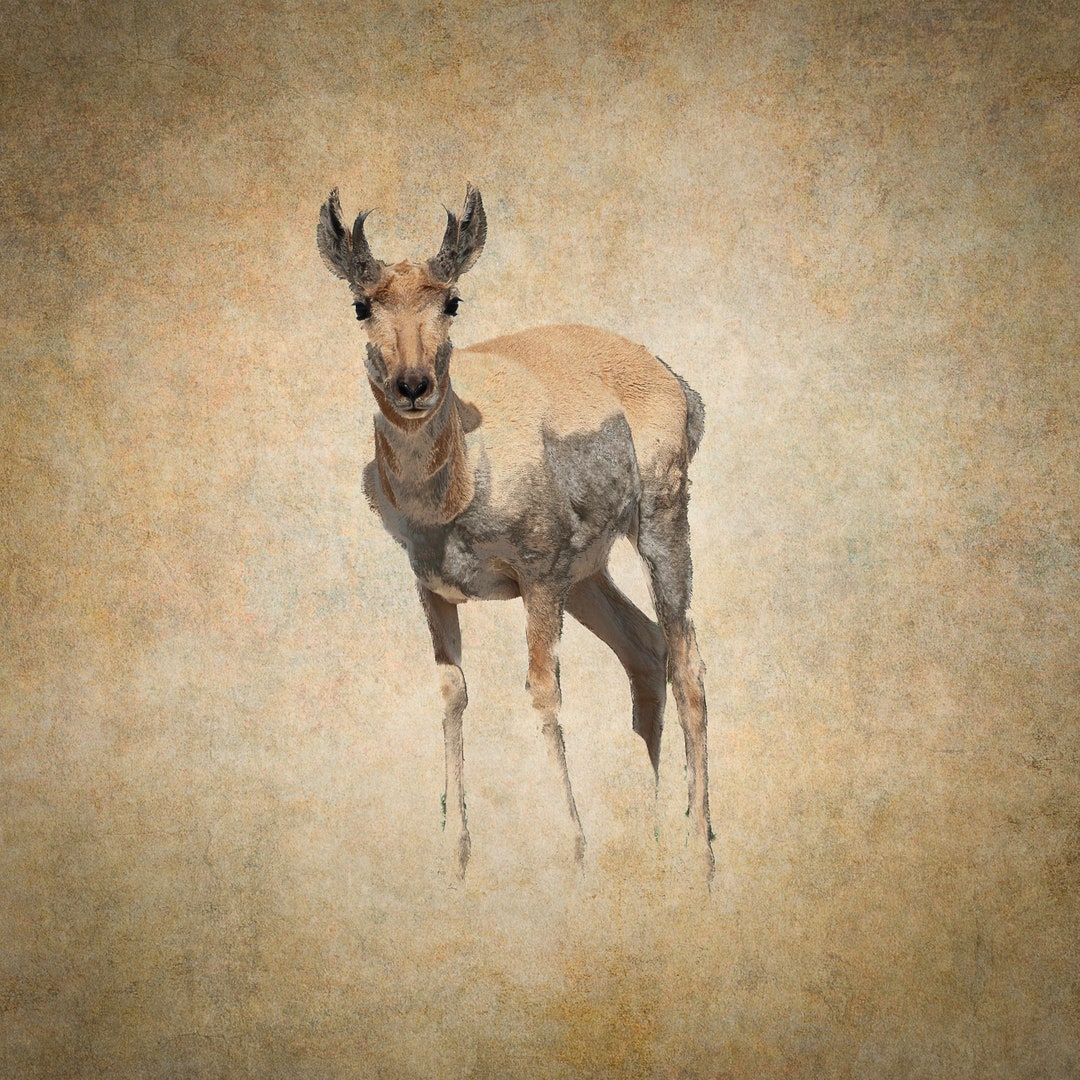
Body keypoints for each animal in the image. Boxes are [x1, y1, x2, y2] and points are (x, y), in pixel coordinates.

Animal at [317, 185, 713, 878]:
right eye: (362, 305)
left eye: (450, 300)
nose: (414, 387)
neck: (461, 480)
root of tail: (665, 373)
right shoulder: (434, 589)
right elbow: (452, 693)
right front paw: (456, 854)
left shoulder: (538, 576)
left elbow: (542, 691)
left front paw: (572, 847)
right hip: (586, 578)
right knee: (644, 649)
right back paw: (652, 832)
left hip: (657, 534)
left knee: (687, 662)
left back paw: (701, 851)